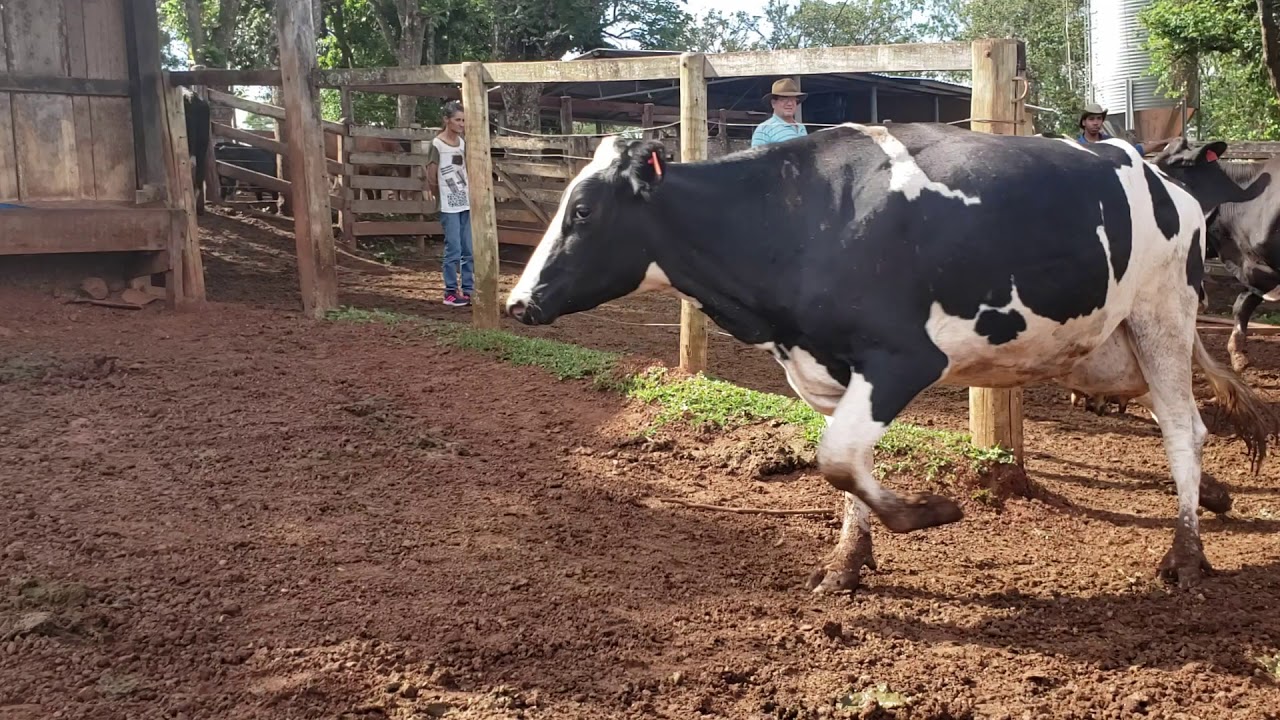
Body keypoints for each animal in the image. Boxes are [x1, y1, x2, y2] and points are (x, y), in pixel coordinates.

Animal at [503, 122, 1276, 595]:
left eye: (582, 212)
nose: (517, 302)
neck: (804, 220)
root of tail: (1159, 175)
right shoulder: (827, 372)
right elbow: (844, 468)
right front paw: (847, 564)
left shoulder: (903, 359)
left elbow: (838, 458)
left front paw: (931, 511)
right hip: (1104, 348)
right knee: (1175, 411)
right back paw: (1215, 497)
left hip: (1160, 315)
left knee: (1184, 429)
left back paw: (1186, 553)